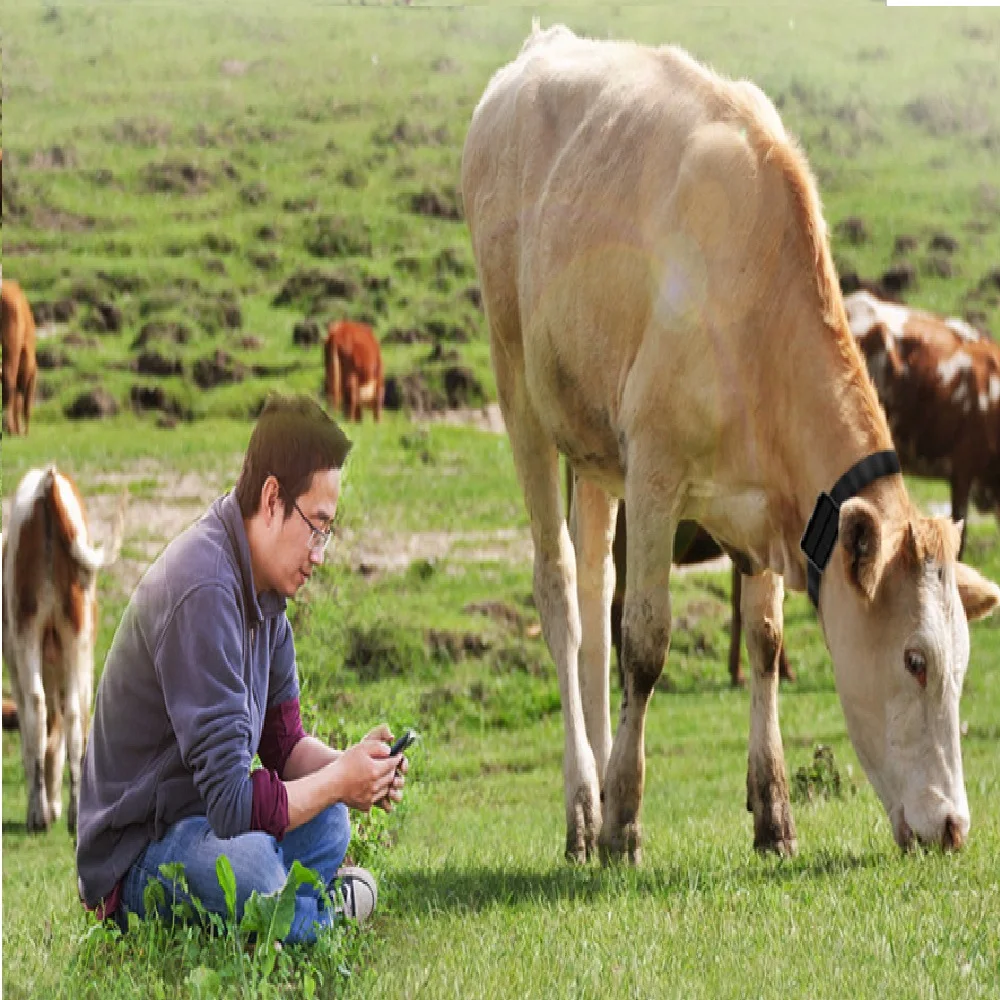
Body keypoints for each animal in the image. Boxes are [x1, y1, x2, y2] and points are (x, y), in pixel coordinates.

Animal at [2, 467, 126, 833]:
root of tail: (47, 482)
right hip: (74, 633)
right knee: (65, 712)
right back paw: (67, 813)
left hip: (34, 630)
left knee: (42, 710)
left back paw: (41, 813)